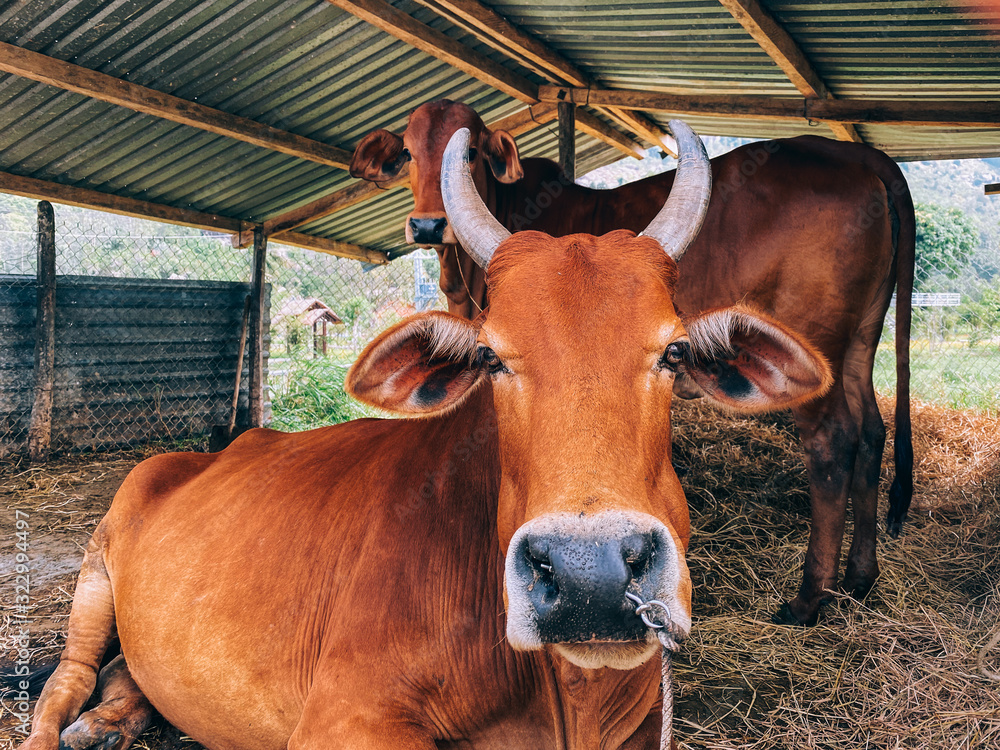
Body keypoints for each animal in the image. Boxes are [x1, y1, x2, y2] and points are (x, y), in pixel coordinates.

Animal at [19, 122, 831, 750]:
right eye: (492, 357)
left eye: (672, 351)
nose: (589, 574)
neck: (567, 692)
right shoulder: (343, 717)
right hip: (93, 576)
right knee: (67, 679)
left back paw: (111, 723)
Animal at [350, 99, 916, 627]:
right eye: (406, 153)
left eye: (470, 153)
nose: (428, 225)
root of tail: (858, 154)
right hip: (858, 345)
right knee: (872, 432)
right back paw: (861, 577)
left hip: (817, 347)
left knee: (832, 443)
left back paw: (810, 597)